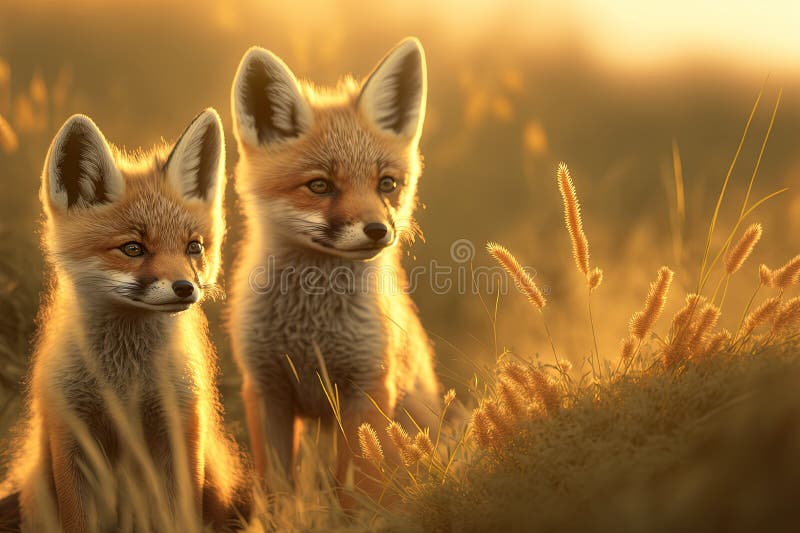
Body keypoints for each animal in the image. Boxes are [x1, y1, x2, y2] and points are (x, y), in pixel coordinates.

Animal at [0, 110, 250, 532]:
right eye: (133, 248)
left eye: (193, 247)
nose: (185, 288)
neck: (125, 387)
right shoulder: (72, 437)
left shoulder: (180, 428)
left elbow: (178, 519)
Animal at [228, 37, 441, 494]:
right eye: (319, 186)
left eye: (387, 184)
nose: (378, 230)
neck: (311, 331)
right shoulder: (265, 389)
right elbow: (276, 491)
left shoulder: (367, 388)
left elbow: (362, 490)